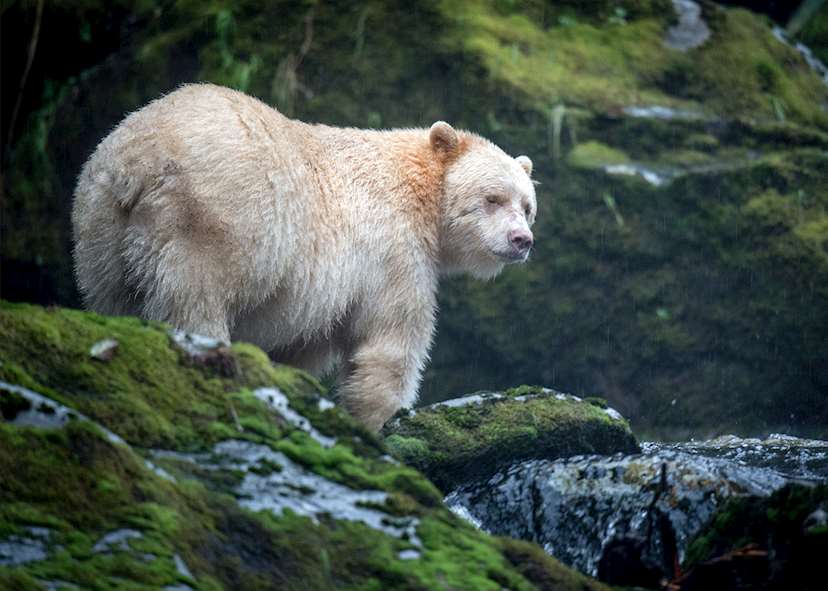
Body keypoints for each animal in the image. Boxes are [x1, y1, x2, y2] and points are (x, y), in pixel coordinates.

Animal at [72, 83, 537, 430]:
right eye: (493, 198)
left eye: (527, 206)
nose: (522, 240)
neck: (418, 188)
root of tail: (139, 159)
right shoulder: (392, 249)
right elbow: (390, 344)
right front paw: (379, 419)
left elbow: (299, 346)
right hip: (206, 225)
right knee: (194, 301)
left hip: (102, 231)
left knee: (117, 298)